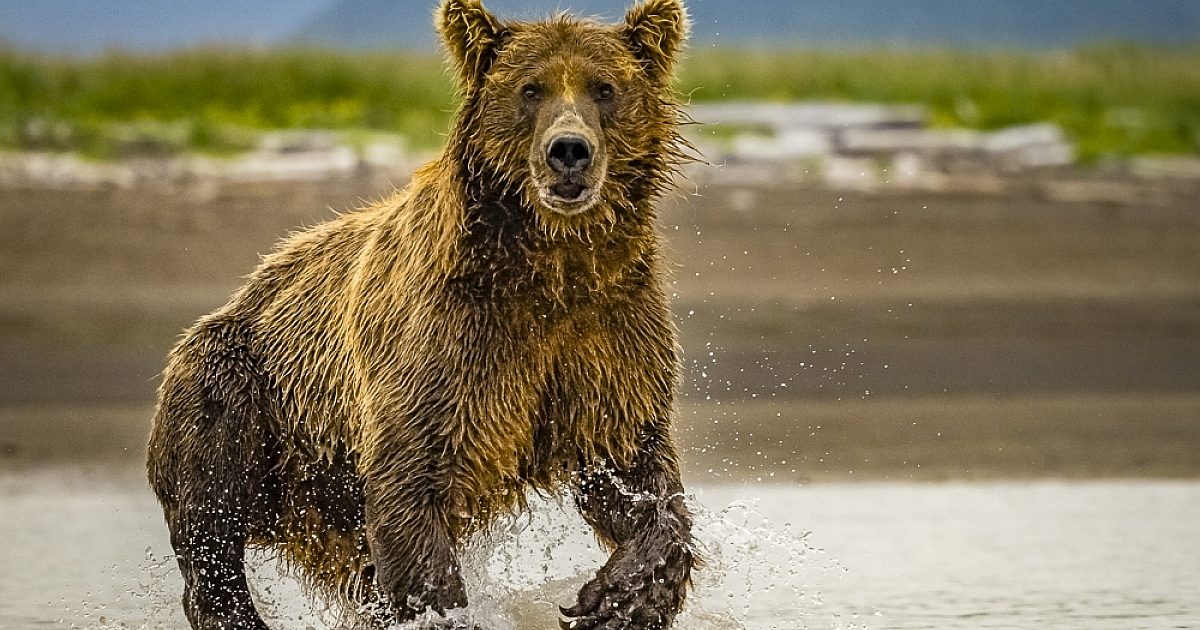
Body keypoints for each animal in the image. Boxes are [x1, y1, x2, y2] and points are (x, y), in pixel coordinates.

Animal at [146, 0, 696, 628]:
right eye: (530, 89)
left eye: (604, 88)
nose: (569, 151)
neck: (551, 265)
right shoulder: (447, 344)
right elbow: (413, 483)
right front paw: (446, 605)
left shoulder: (609, 338)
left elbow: (634, 475)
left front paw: (617, 599)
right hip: (244, 384)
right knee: (211, 513)